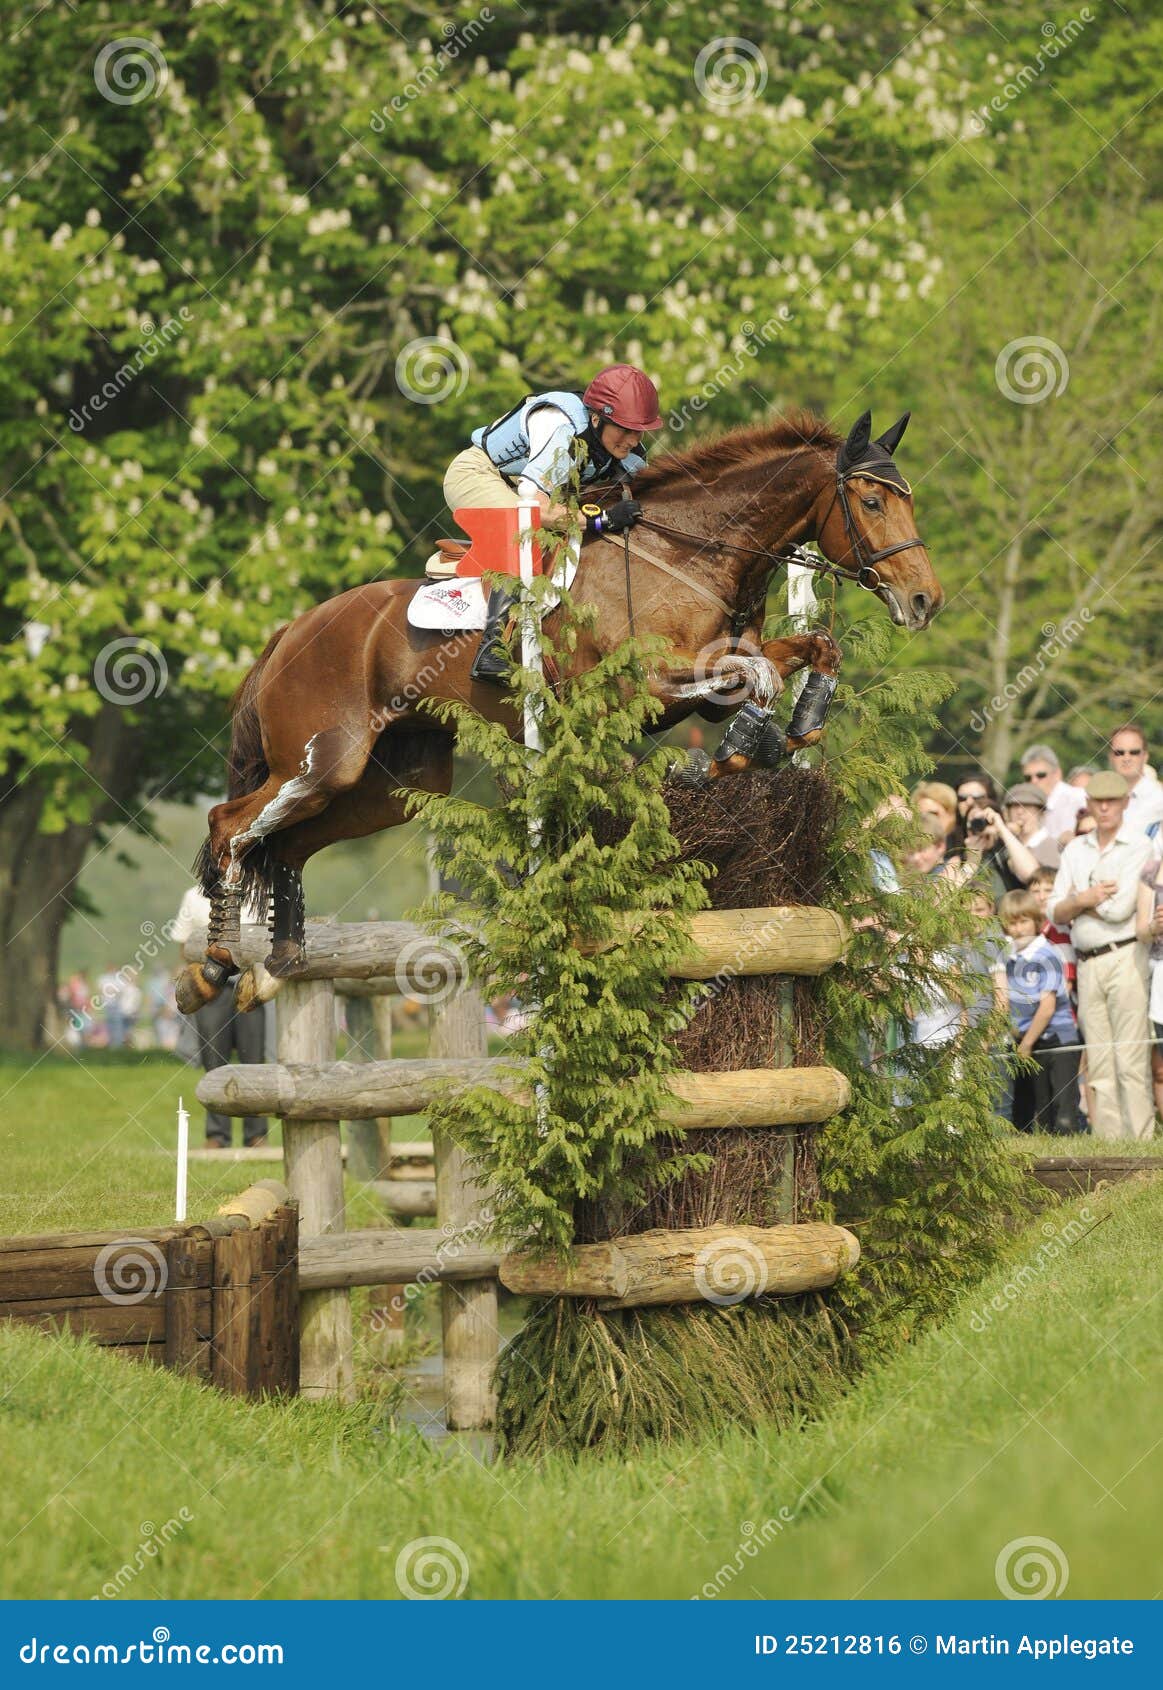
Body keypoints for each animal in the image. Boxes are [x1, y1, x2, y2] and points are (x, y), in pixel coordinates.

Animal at [177, 407, 941, 1012]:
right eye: (871, 503)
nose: (925, 601)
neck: (686, 555)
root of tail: (292, 630)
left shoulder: (720, 660)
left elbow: (813, 650)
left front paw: (789, 733)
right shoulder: (642, 687)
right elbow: (754, 679)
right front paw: (731, 754)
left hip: (395, 783)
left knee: (286, 846)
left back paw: (274, 967)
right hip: (323, 759)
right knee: (231, 829)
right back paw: (212, 967)